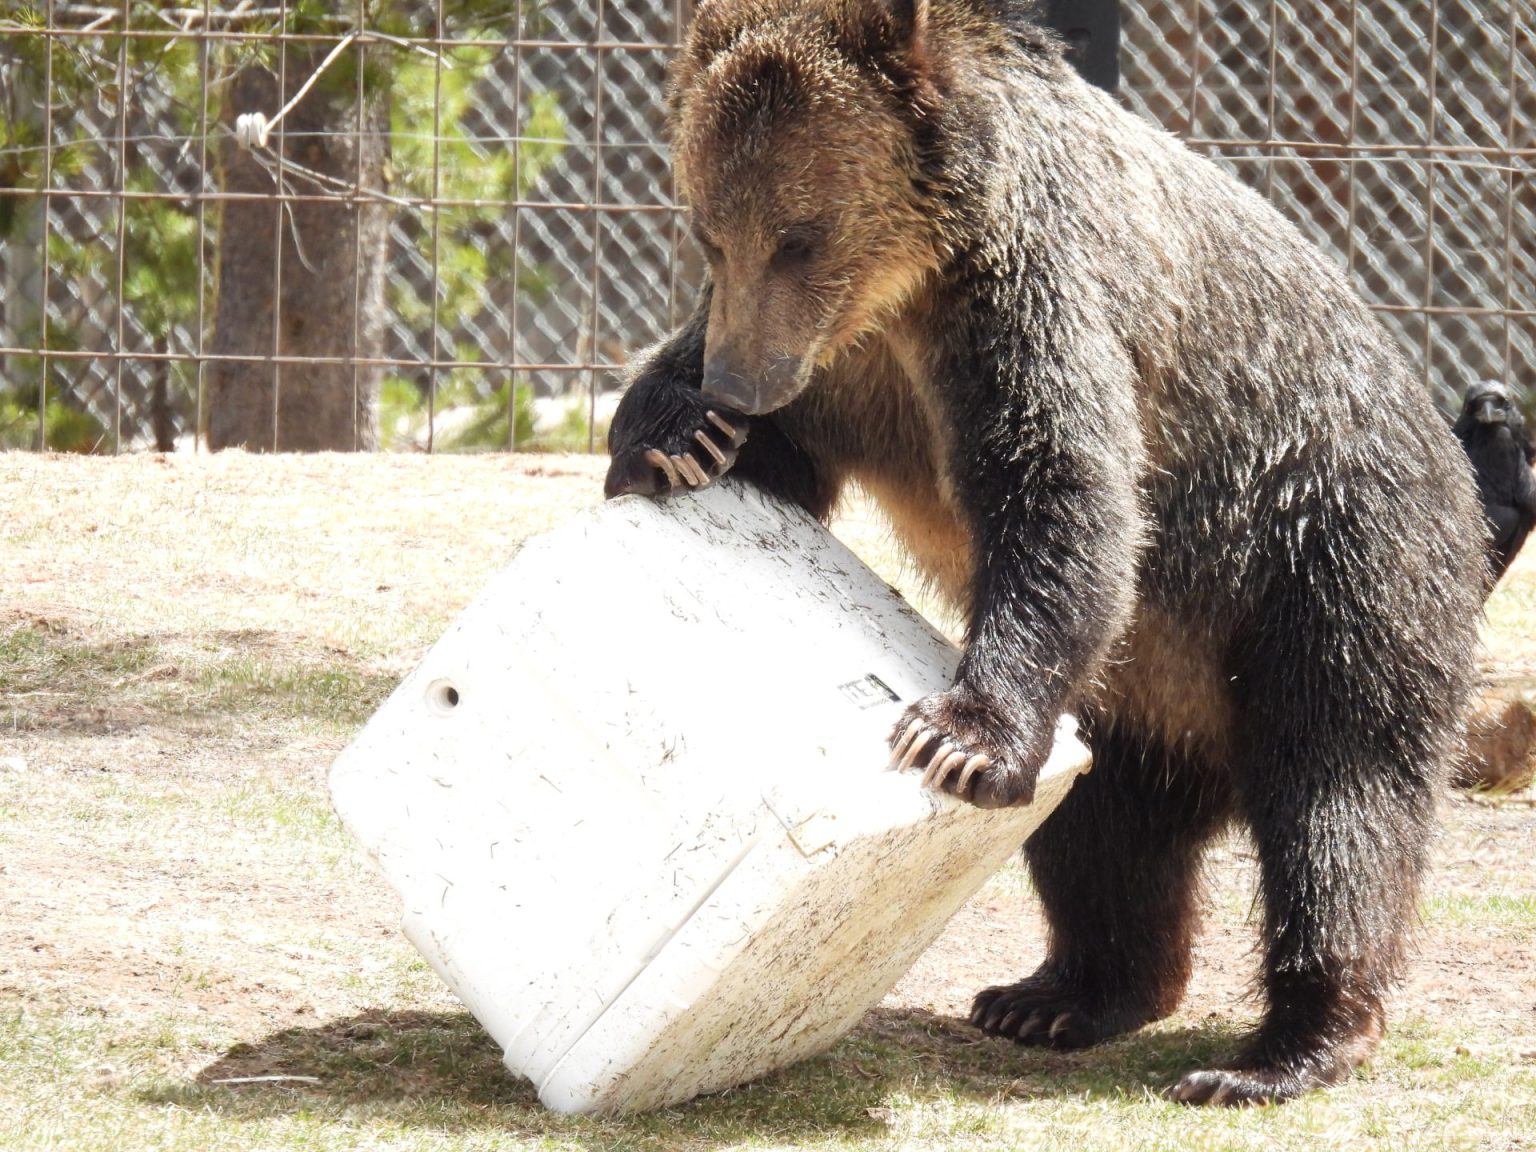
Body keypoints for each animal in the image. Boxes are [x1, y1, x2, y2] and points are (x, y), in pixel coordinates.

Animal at [604, 0, 1487, 1106]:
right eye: (708, 231)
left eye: (799, 236)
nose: (738, 380)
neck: (906, 284)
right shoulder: (850, 371)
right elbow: (776, 460)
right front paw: (676, 438)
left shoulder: (1028, 303)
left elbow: (1062, 494)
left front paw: (956, 739)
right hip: (1137, 695)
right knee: (1102, 840)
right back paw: (1060, 995)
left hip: (1328, 565)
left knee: (1339, 807)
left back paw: (1282, 1048)